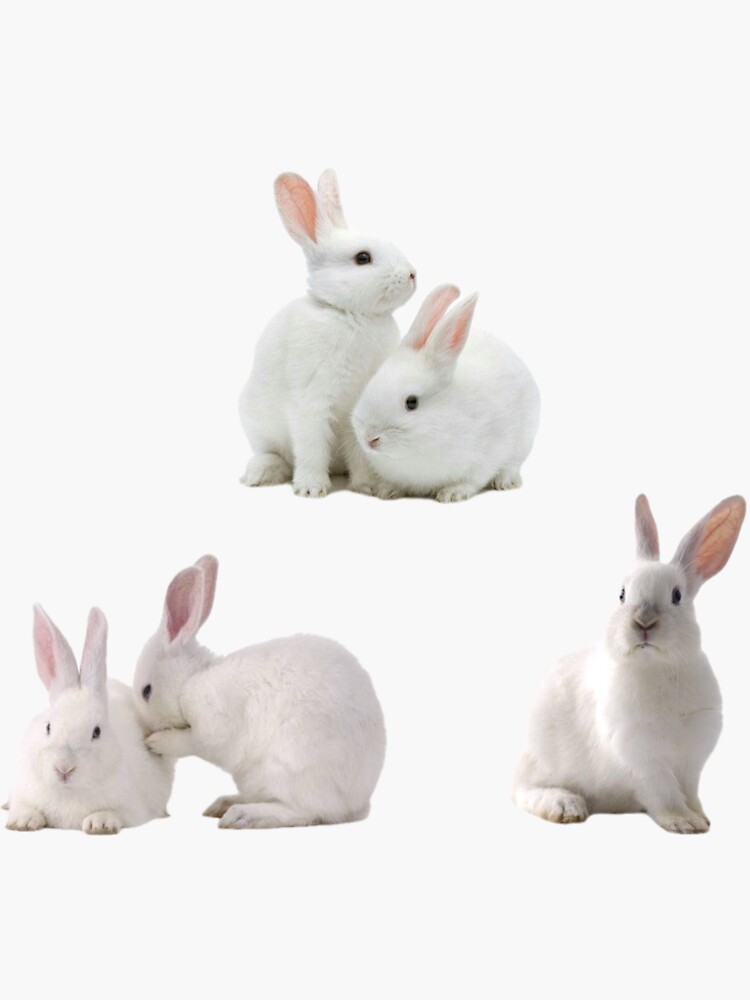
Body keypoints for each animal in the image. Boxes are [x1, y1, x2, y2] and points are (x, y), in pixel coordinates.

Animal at [6, 606, 174, 834]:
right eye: (48, 727)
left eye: (97, 732)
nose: (64, 768)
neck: (69, 792)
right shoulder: (23, 790)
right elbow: (24, 806)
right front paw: (22, 821)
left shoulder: (132, 810)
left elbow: (114, 813)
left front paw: (100, 823)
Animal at [133, 555, 386, 829]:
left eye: (147, 691)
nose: (146, 729)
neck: (190, 680)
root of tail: (357, 803)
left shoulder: (211, 724)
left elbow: (192, 741)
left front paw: (157, 742)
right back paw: (223, 803)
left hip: (288, 772)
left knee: (305, 811)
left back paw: (240, 815)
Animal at [238, 168, 416, 498]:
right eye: (362, 258)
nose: (412, 274)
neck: (351, 314)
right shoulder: (310, 403)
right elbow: (310, 448)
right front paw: (311, 488)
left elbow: (360, 452)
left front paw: (368, 486)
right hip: (258, 426)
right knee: (272, 453)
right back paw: (260, 474)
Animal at [350, 284, 540, 502]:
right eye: (371, 381)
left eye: (411, 402)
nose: (370, 438)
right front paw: (388, 491)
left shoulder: (488, 454)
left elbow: (473, 479)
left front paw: (452, 493)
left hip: (523, 441)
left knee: (512, 465)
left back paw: (505, 482)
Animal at [513, 493, 746, 834]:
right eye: (622, 594)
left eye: (677, 596)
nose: (643, 622)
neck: (657, 666)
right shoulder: (642, 757)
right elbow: (664, 793)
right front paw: (682, 822)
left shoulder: (690, 761)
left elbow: (689, 792)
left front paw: (701, 818)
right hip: (541, 764)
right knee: (523, 791)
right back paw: (565, 805)